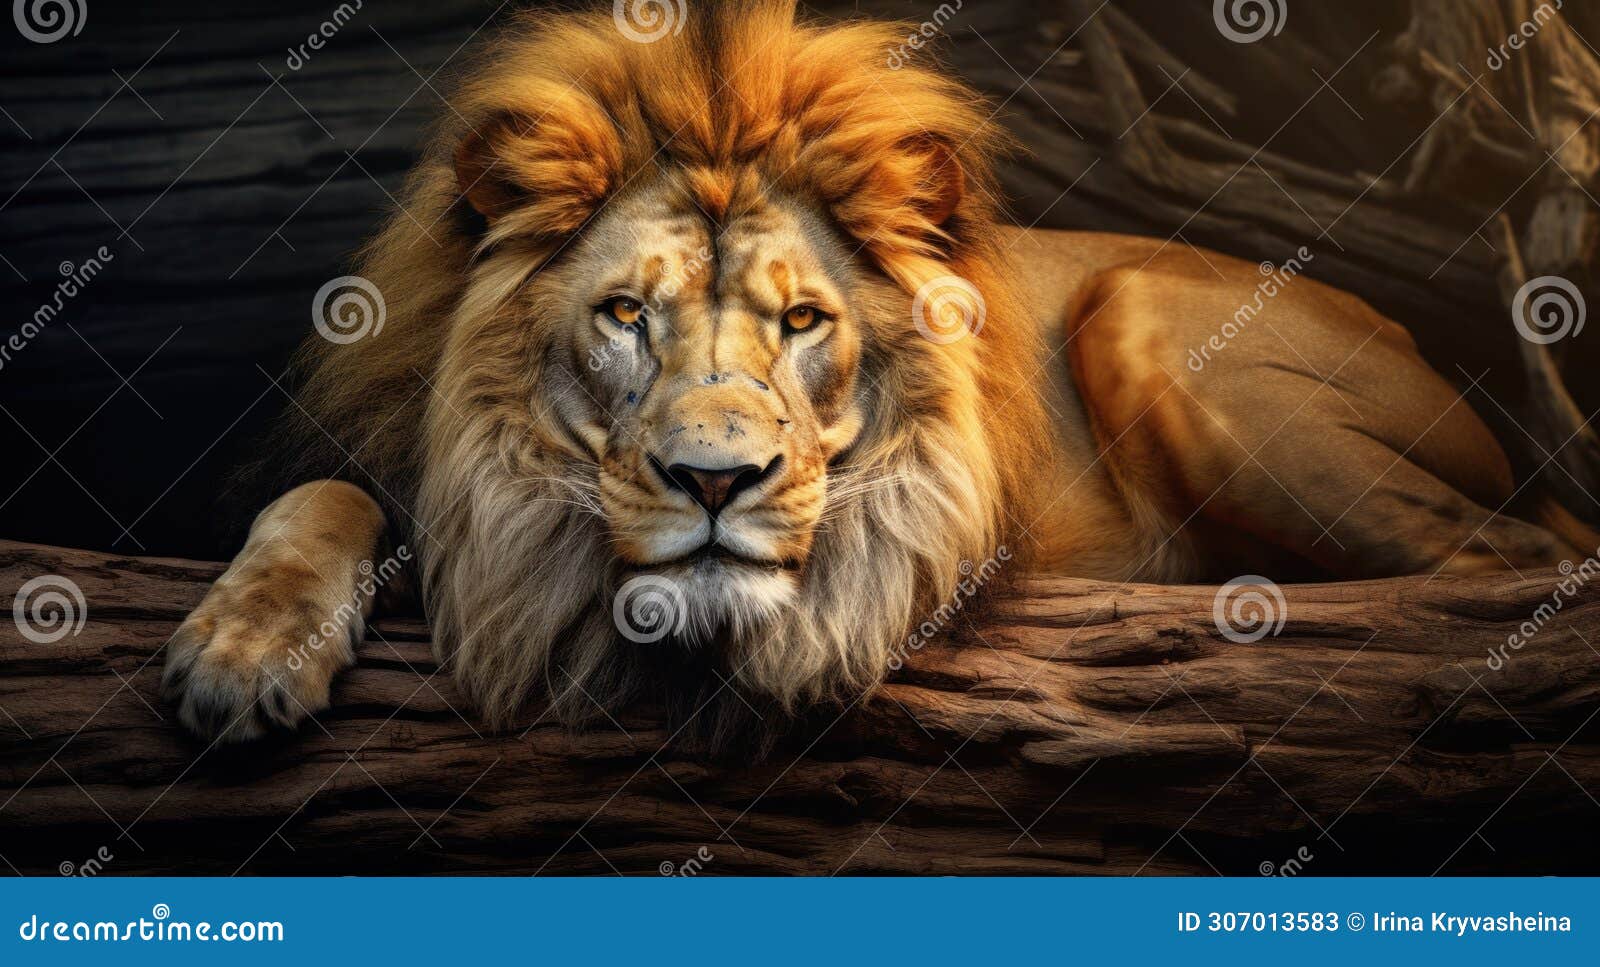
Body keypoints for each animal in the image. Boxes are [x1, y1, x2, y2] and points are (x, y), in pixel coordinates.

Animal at [162, 0, 1594, 747]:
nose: (716, 482)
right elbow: (319, 503)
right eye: (625, 314)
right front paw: (243, 649)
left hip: (1140, 318)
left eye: (804, 321)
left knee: (1510, 557)